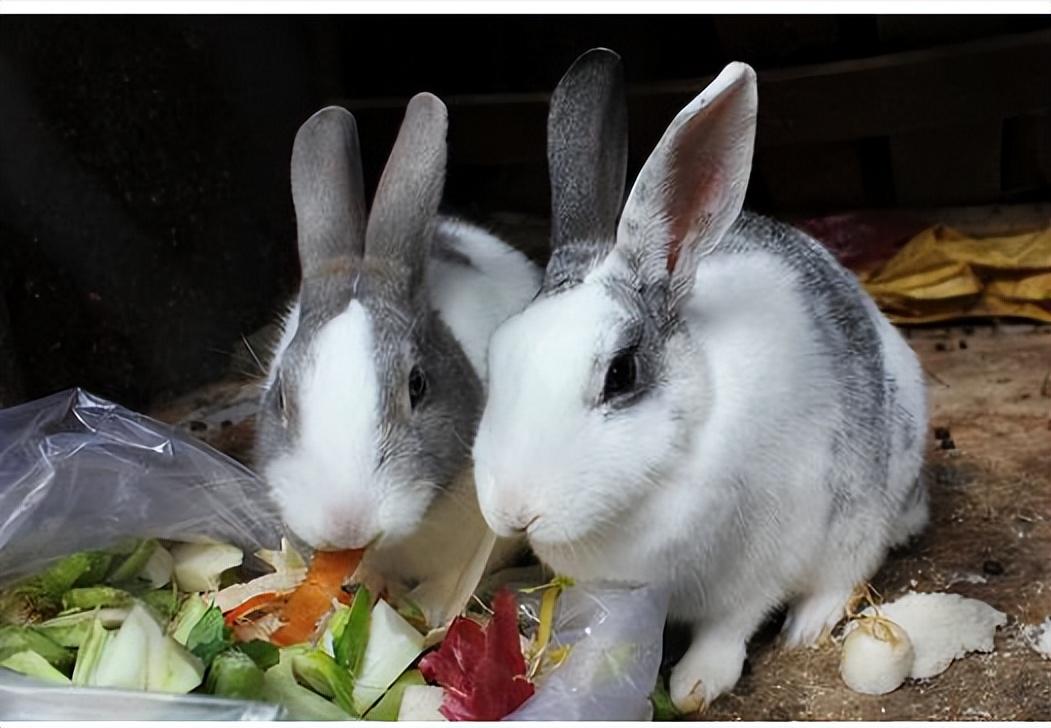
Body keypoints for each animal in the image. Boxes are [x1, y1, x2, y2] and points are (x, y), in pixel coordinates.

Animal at [254, 94, 541, 607]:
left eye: (418, 385)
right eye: (281, 398)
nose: (347, 524)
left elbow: (450, 581)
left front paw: (432, 606)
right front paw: (367, 586)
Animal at [472, 49, 928, 713]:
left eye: (621, 373)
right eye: (497, 357)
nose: (516, 513)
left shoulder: (762, 560)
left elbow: (730, 625)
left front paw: (695, 683)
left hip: (863, 511)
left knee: (851, 568)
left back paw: (809, 624)